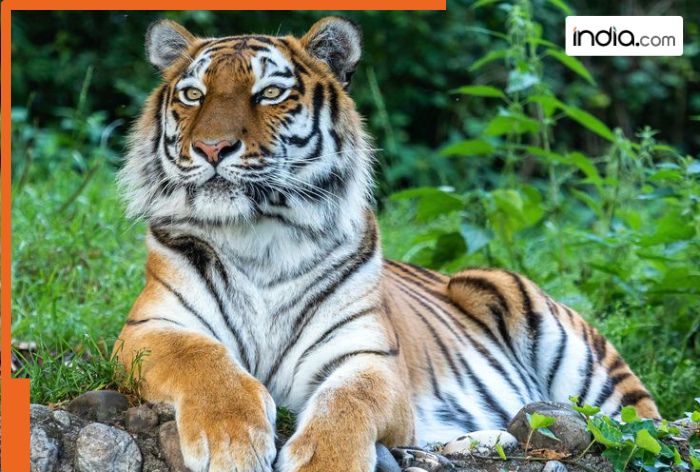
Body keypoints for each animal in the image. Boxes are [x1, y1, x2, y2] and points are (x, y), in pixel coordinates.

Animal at [115, 17, 659, 472]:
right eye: (193, 94)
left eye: (269, 93)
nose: (211, 148)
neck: (259, 233)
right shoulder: (149, 329)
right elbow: (203, 362)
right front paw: (229, 441)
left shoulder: (369, 356)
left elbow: (348, 402)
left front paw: (325, 465)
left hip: (570, 351)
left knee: (640, 423)